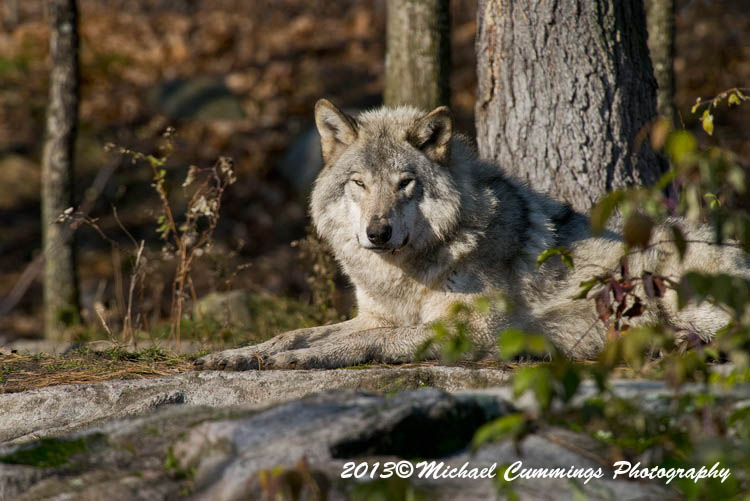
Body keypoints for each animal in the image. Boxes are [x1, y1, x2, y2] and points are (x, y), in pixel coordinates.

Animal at [194, 99, 750, 370]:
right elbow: (296, 332)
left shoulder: (470, 329)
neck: (405, 275)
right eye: (360, 184)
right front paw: (240, 354)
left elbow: (361, 343)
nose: (377, 232)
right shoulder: (373, 314)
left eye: (405, 183)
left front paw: (292, 360)